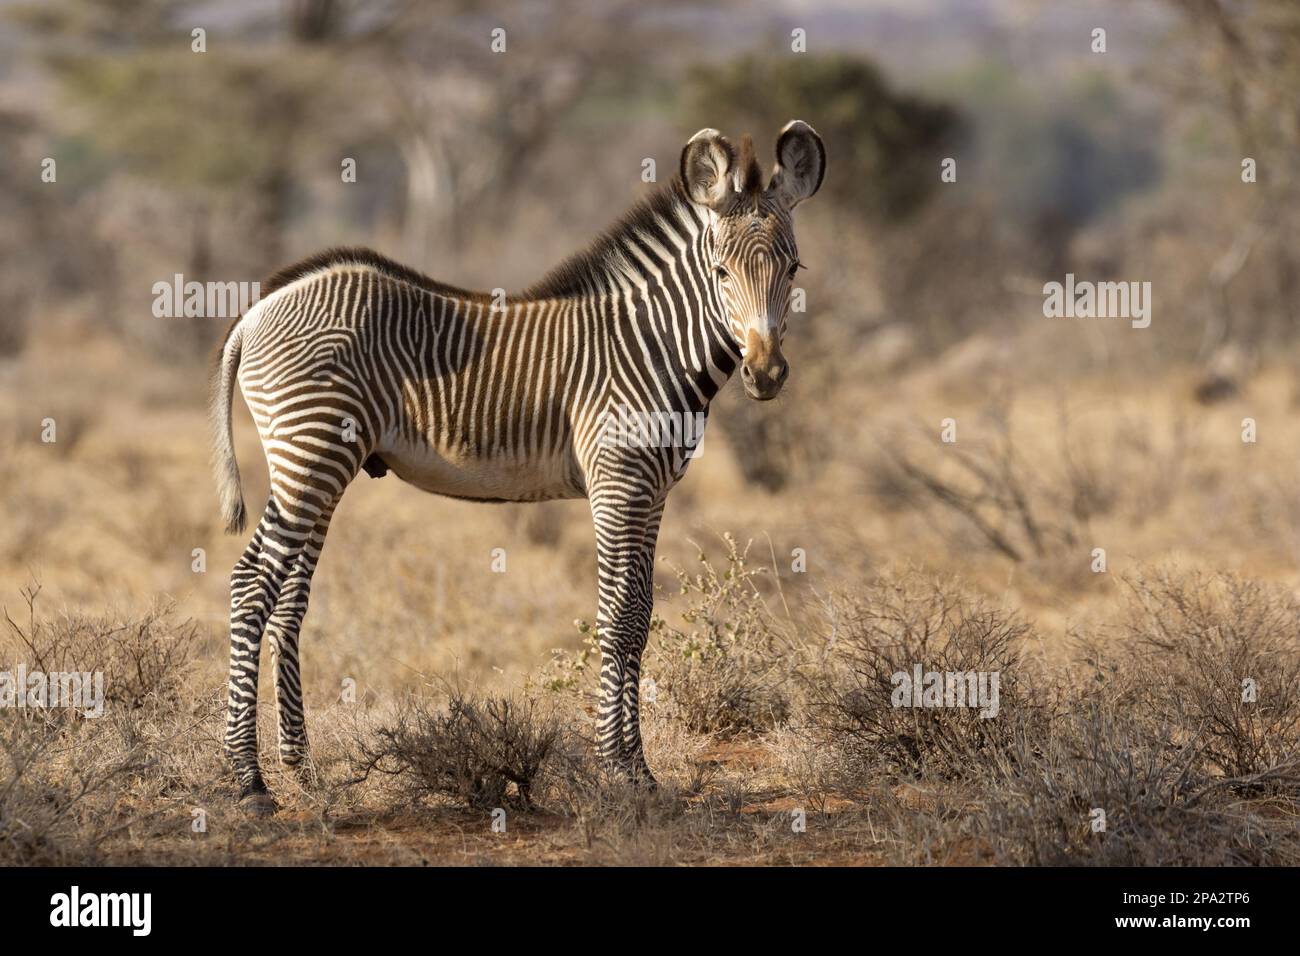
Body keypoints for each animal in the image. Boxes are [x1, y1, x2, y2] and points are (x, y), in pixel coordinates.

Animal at [211, 121, 825, 810]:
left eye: (794, 268)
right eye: (720, 272)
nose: (766, 375)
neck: (655, 345)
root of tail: (257, 309)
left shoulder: (654, 489)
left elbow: (640, 617)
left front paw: (640, 772)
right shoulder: (617, 482)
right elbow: (616, 618)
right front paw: (619, 769)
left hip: (319, 463)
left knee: (288, 599)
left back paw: (302, 770)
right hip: (309, 453)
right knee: (250, 586)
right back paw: (249, 780)